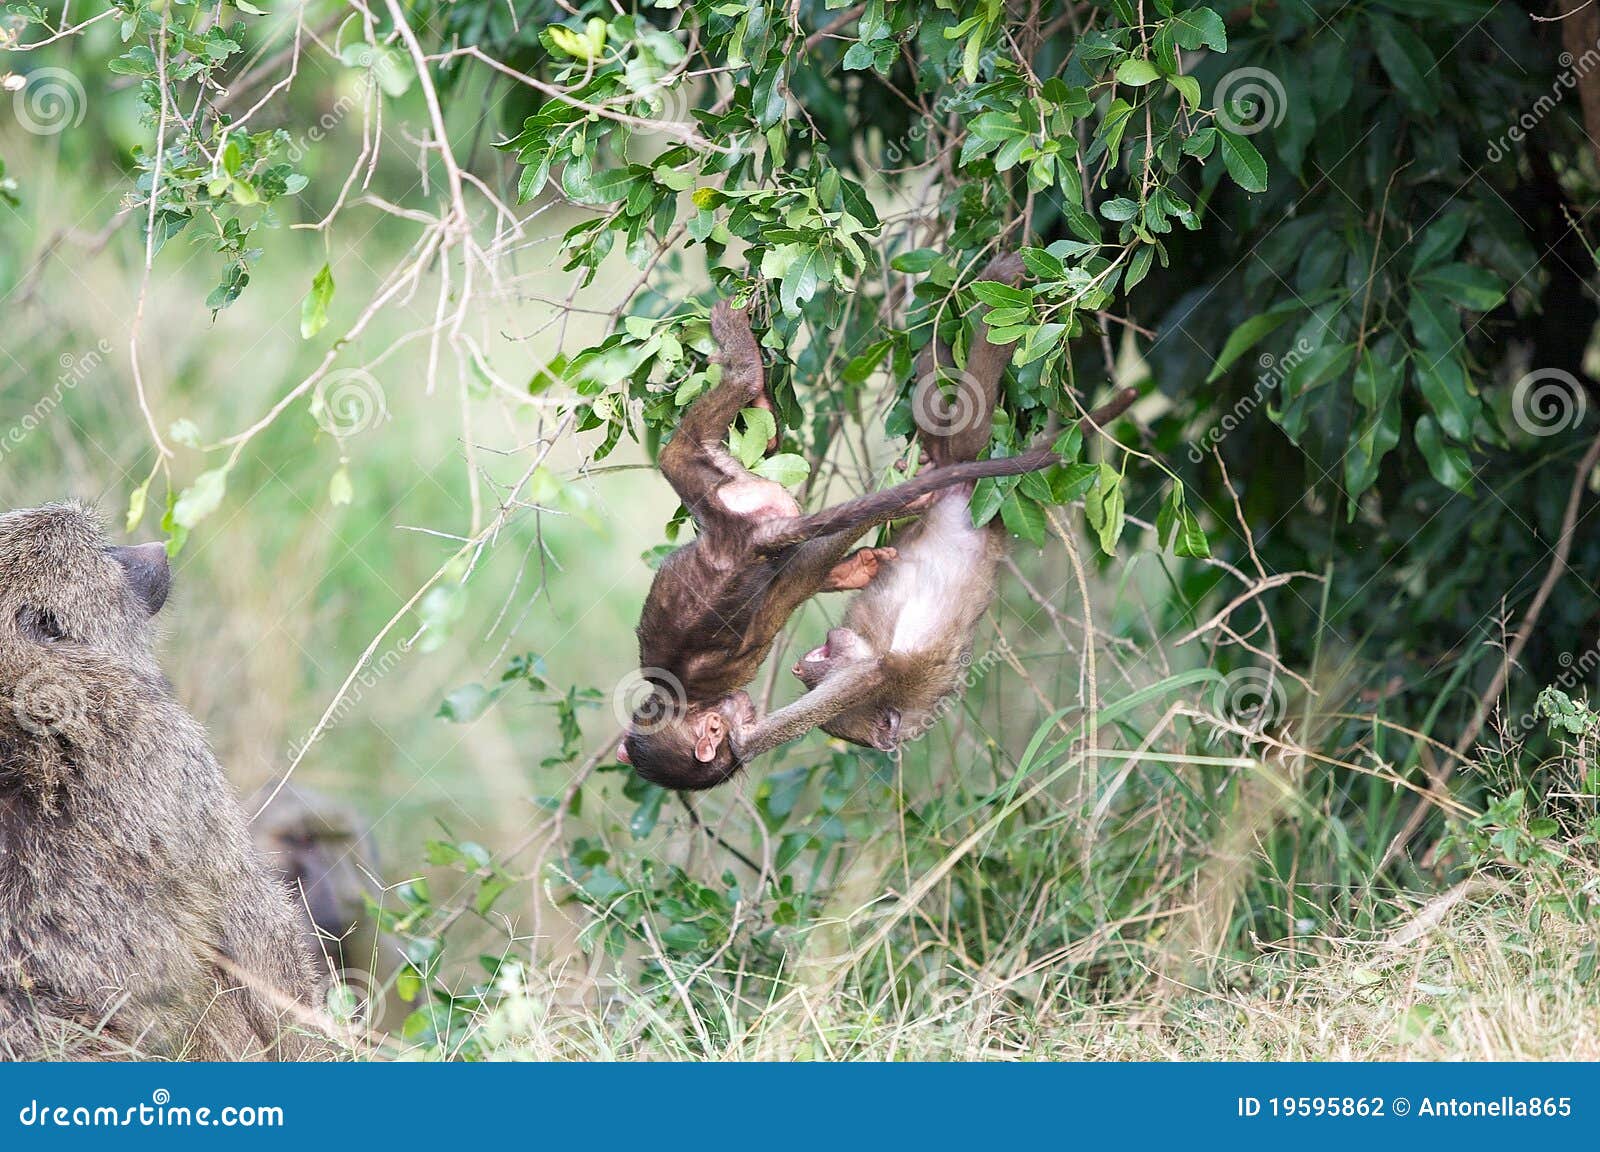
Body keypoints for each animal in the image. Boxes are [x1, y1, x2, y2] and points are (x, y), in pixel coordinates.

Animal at [619, 297, 1093, 792]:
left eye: (730, 726)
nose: (798, 669)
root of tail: (748, 535)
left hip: (726, 522)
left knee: (683, 457)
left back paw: (747, 372)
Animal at [793, 254, 1139, 750]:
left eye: (814, 680)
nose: (800, 668)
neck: (875, 654)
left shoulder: (885, 673)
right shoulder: (887, 675)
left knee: (957, 422)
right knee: (959, 428)